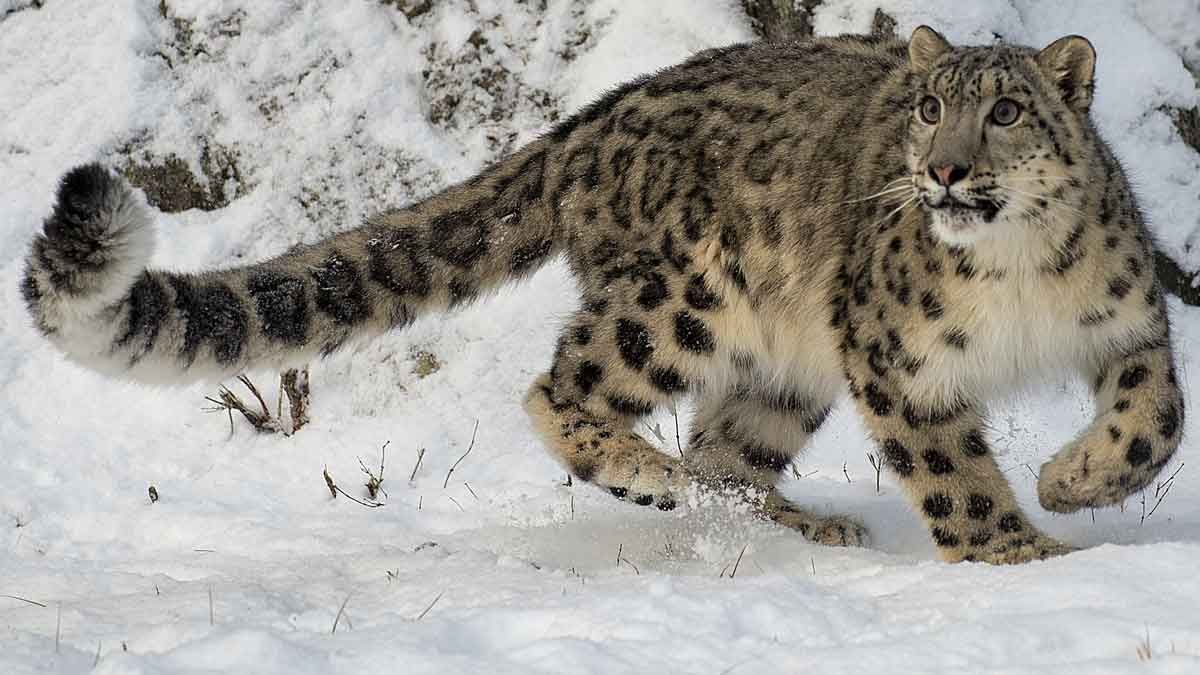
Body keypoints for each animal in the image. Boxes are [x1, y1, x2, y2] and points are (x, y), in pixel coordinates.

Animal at [21, 26, 1185, 564]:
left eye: (1005, 112)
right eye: (930, 107)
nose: (942, 171)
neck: (1018, 275)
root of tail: (585, 122)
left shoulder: (1128, 319)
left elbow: (1157, 419)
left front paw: (1075, 479)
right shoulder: (895, 358)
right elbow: (951, 468)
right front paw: (1020, 553)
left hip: (781, 363)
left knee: (728, 449)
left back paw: (797, 523)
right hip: (679, 298)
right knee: (564, 389)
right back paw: (644, 473)